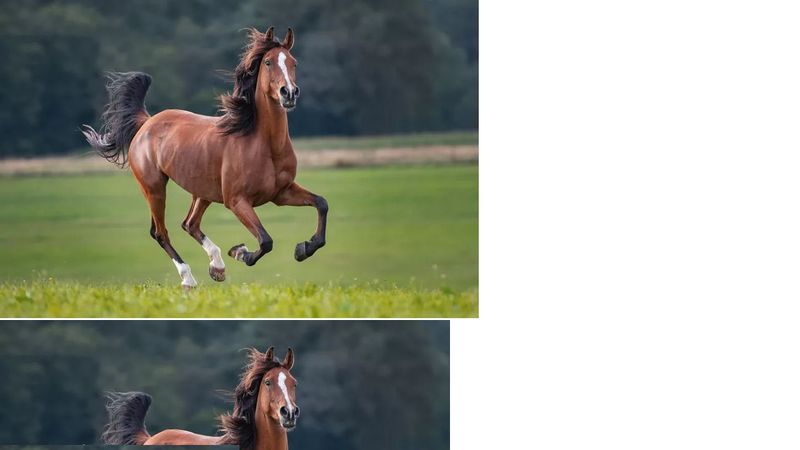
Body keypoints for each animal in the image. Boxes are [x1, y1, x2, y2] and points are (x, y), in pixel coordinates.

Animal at [81, 27, 328, 289]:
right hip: (154, 188)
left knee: (190, 224)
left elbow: (321, 203)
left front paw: (303, 248)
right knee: (161, 232)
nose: (289, 93)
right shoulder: (237, 201)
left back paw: (217, 267)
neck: (264, 144)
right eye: (268, 62)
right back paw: (189, 279)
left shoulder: (281, 193)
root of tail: (146, 123)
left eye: (294, 62)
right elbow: (265, 241)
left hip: (203, 192)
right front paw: (240, 252)